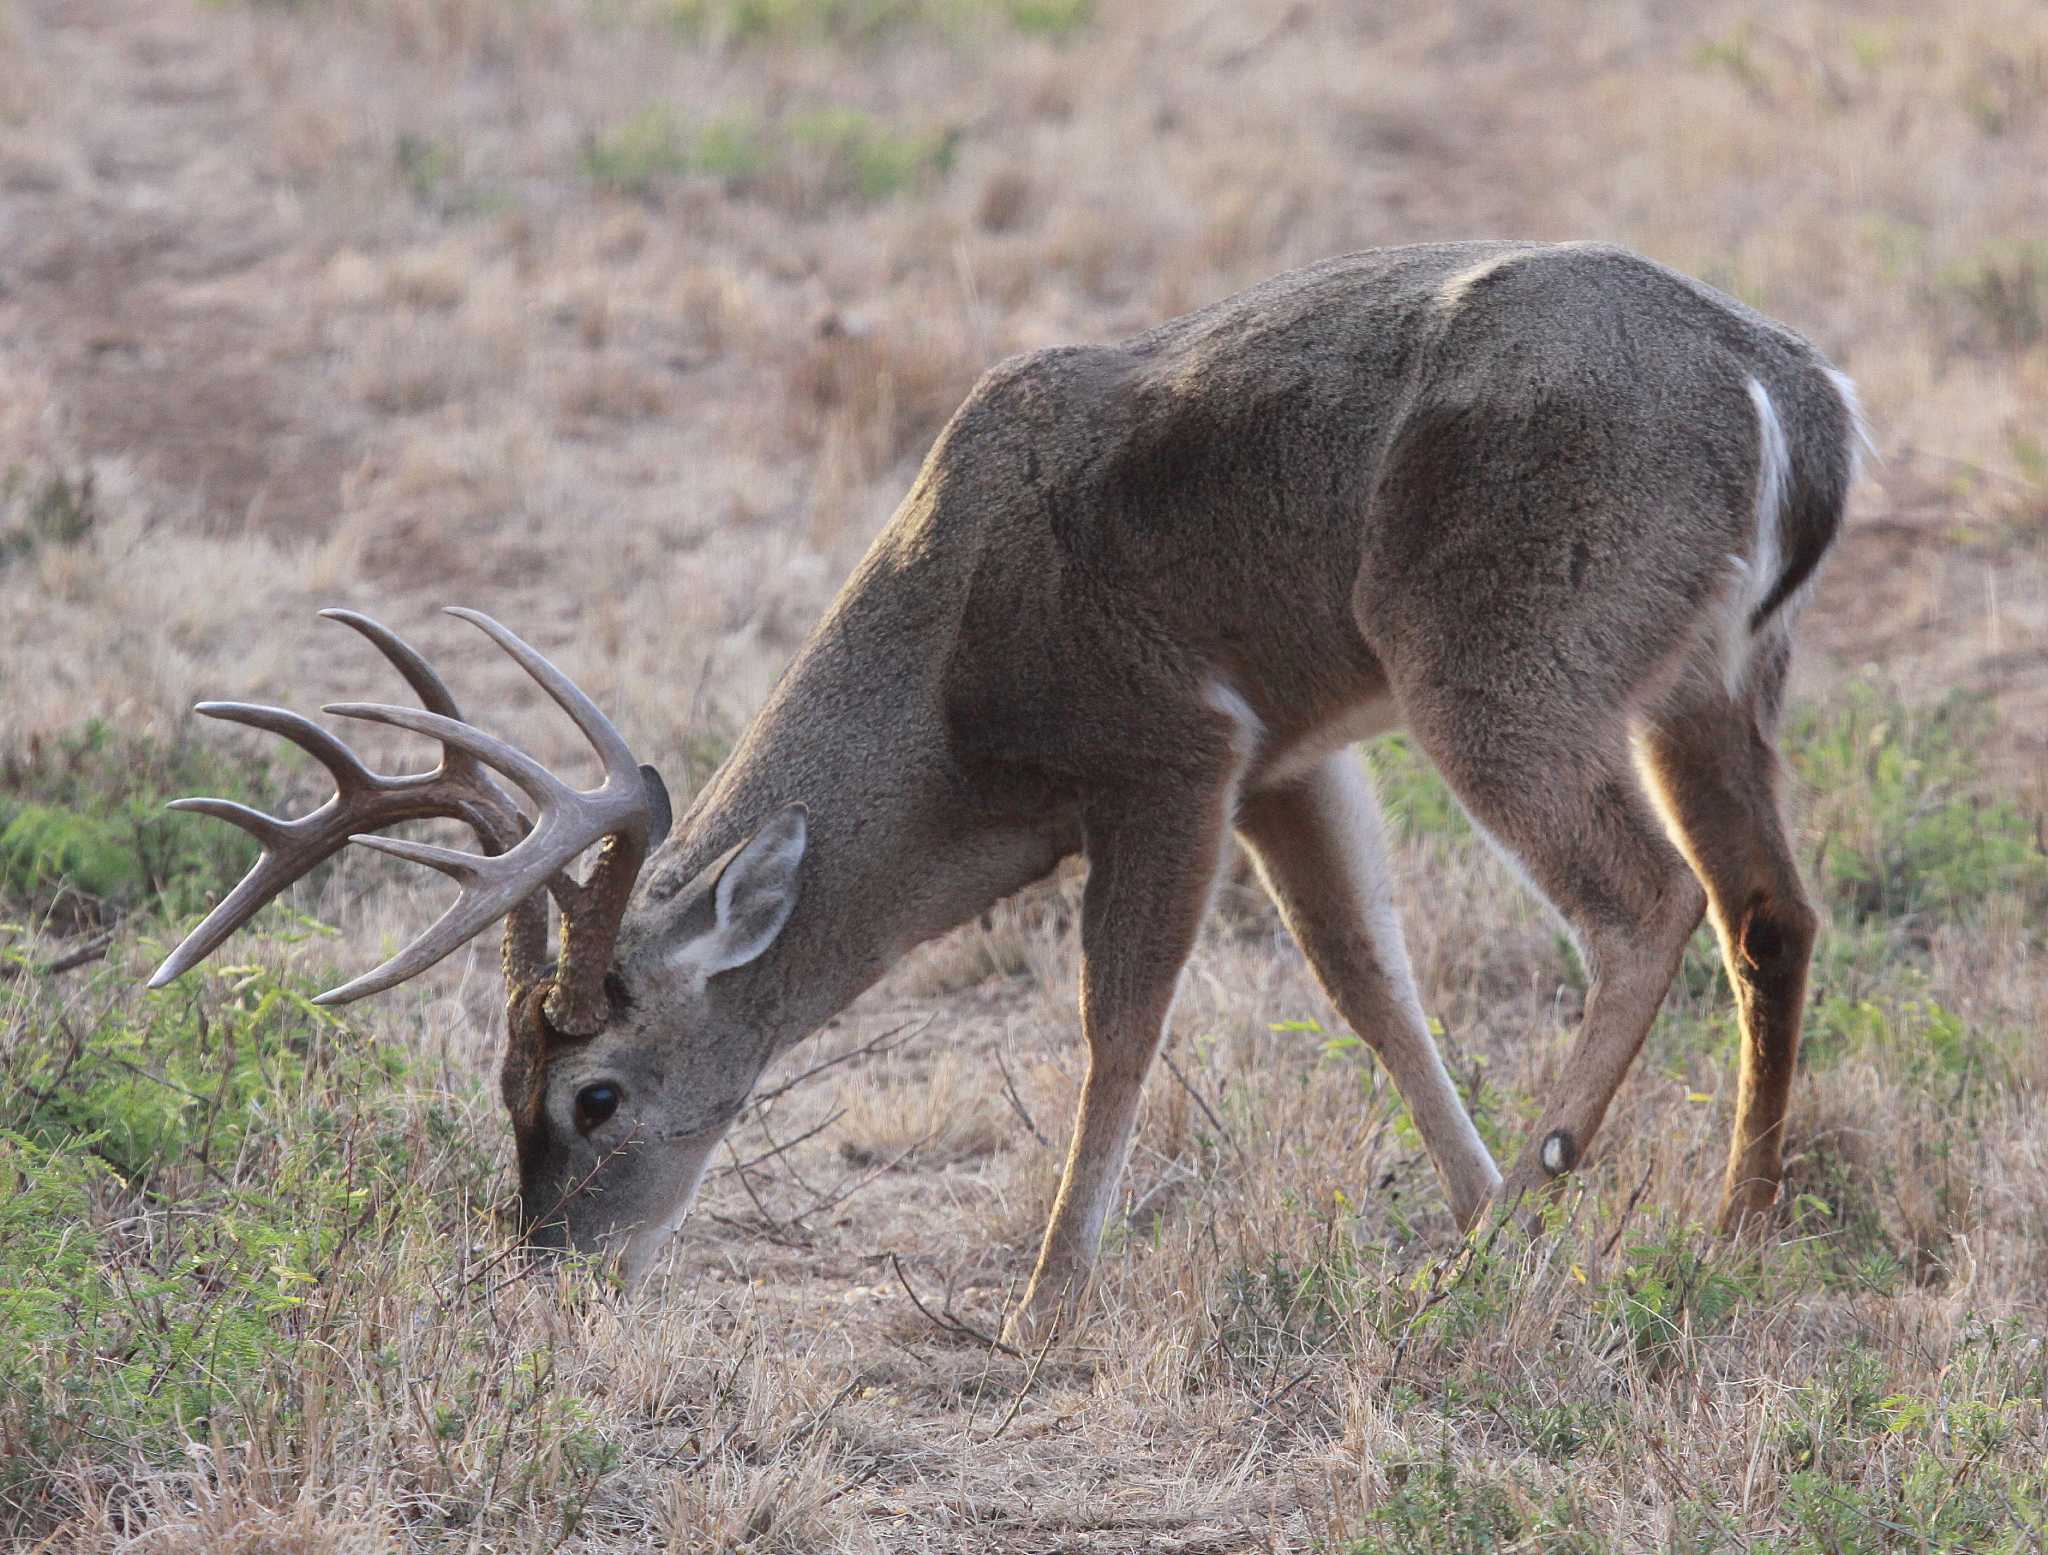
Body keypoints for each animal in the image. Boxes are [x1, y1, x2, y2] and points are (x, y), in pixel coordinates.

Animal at [150, 240, 1865, 1340]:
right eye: (501, 1083)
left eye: (598, 1093)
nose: (551, 1270)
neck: (955, 702)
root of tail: (1797, 399)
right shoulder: (1292, 752)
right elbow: (1370, 981)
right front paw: (1469, 1192)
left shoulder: (1172, 739)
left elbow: (1123, 1022)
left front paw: (1041, 1303)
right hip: (1709, 676)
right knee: (1768, 907)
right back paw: (1730, 1225)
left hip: (1493, 651)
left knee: (1644, 902)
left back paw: (1503, 1257)